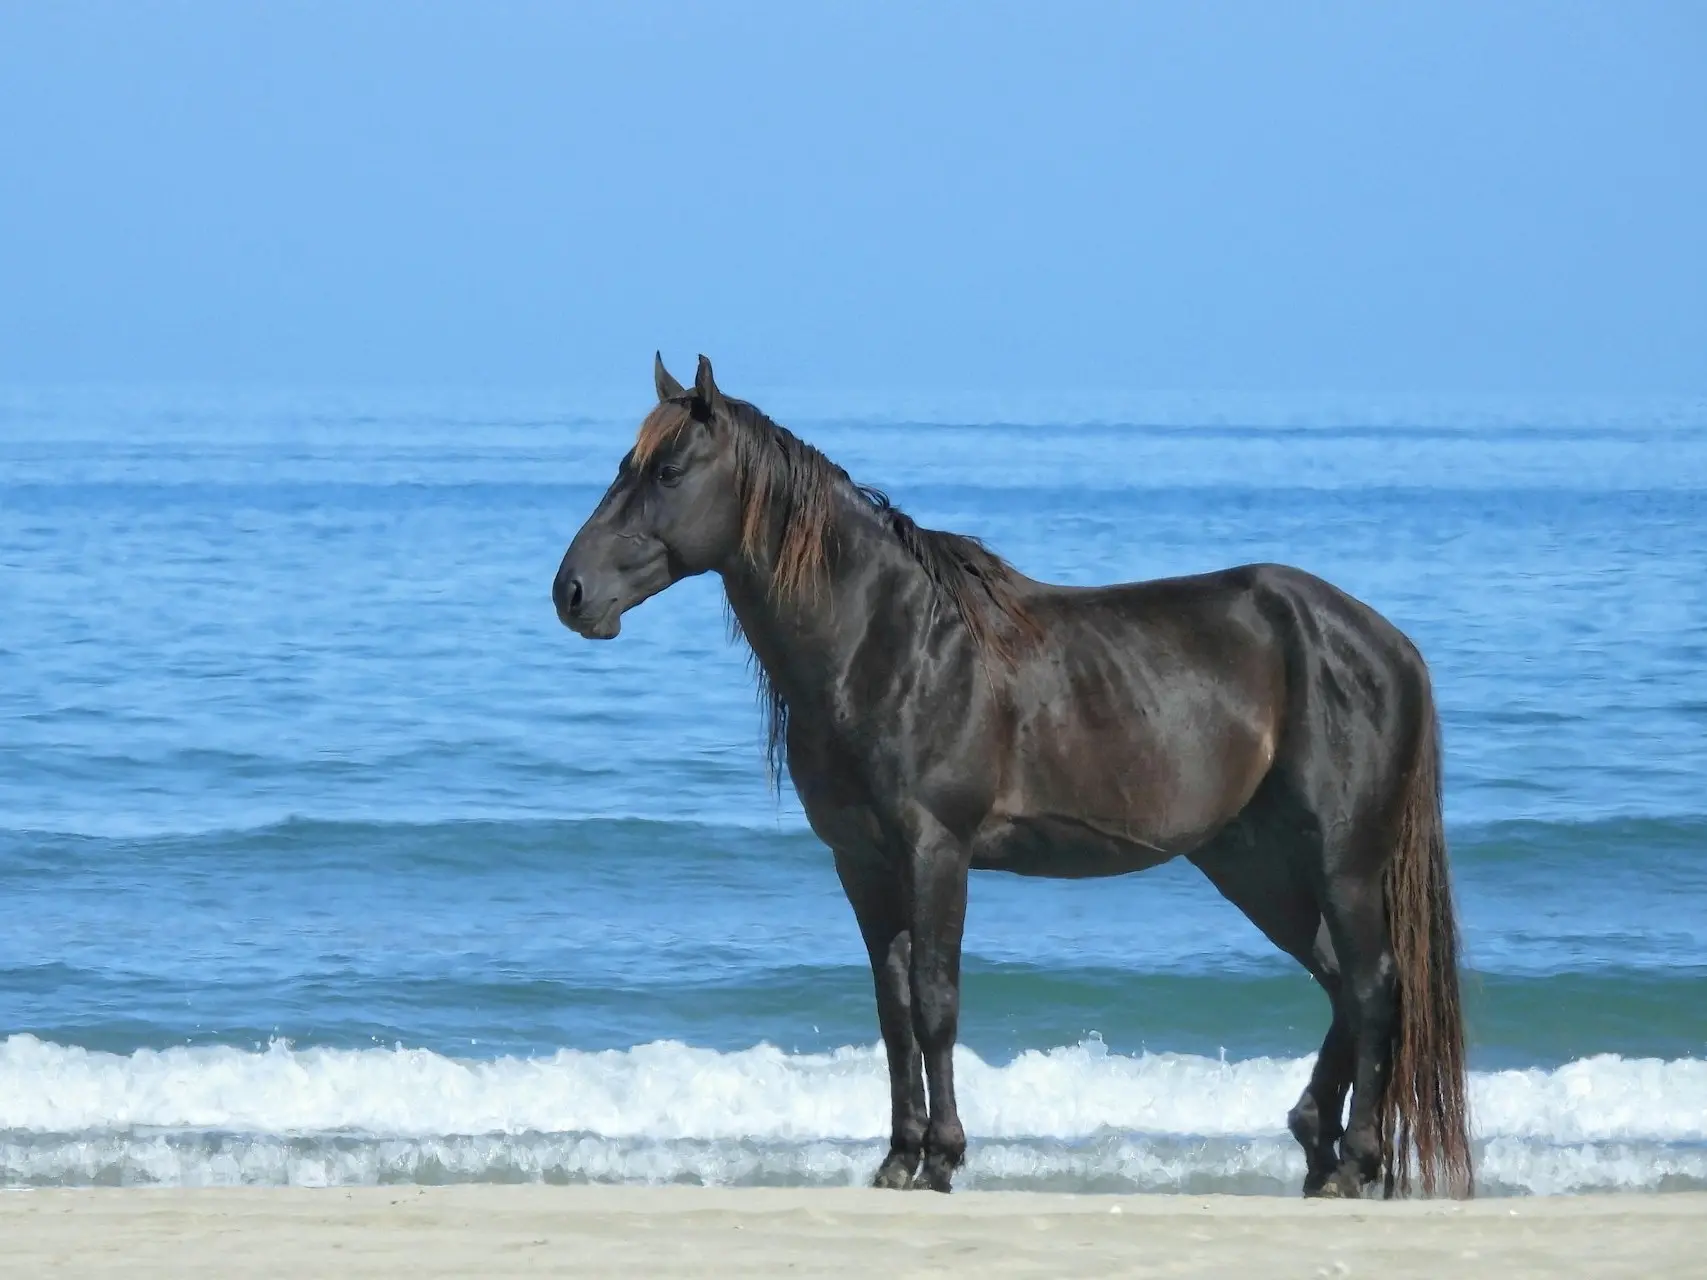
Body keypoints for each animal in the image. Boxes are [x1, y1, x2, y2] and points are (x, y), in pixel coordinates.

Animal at [553, 354, 1474, 1199]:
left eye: (668, 472)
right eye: (625, 466)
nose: (572, 592)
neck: (889, 642)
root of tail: (1385, 642)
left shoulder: (936, 850)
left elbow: (934, 1001)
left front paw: (942, 1157)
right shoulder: (862, 862)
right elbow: (891, 1009)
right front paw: (897, 1157)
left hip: (1340, 861)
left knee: (1373, 987)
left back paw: (1354, 1162)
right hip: (1256, 867)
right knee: (1339, 986)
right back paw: (1316, 1148)